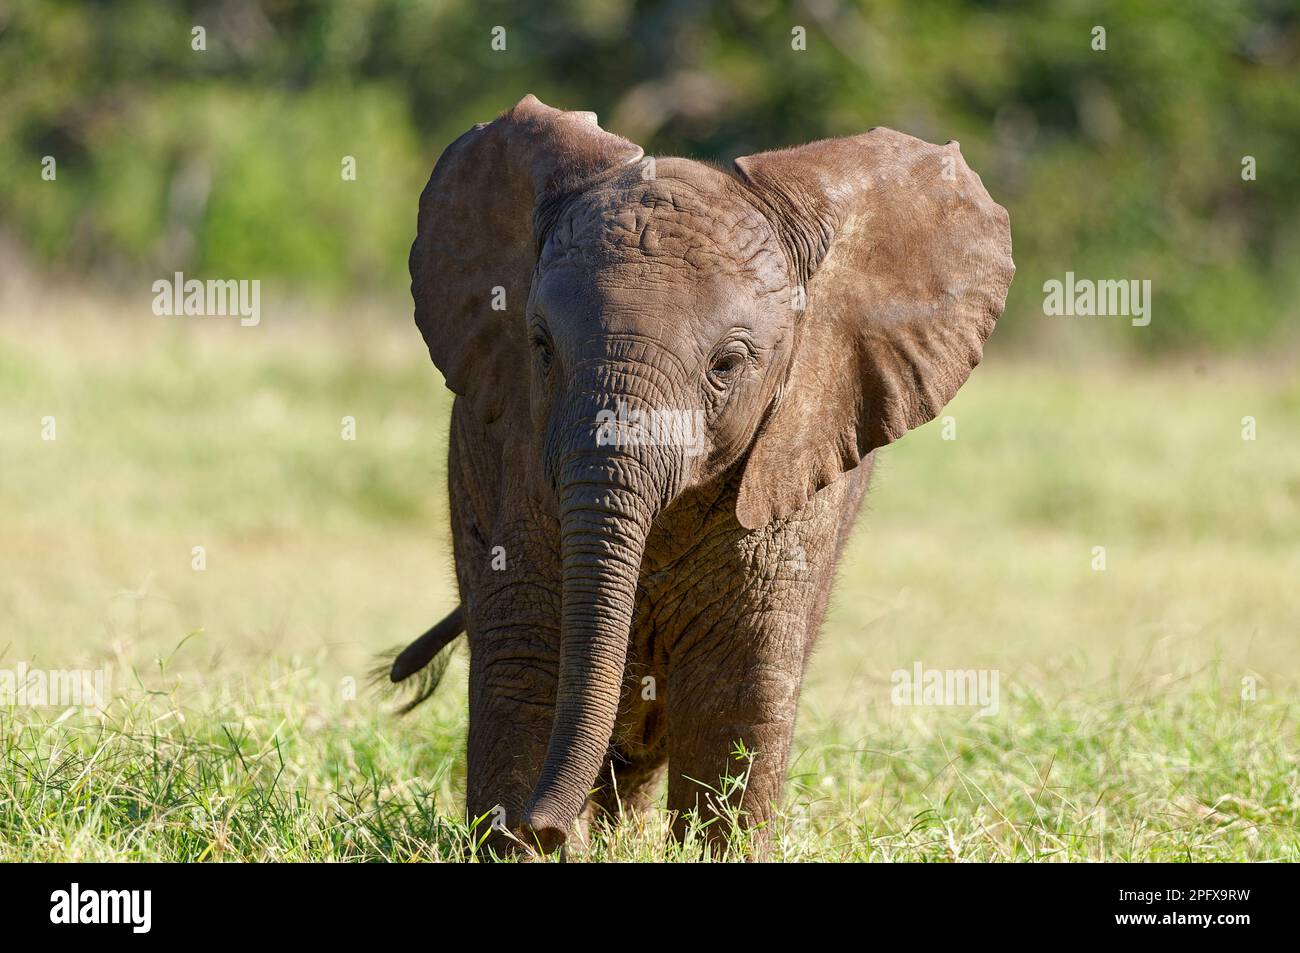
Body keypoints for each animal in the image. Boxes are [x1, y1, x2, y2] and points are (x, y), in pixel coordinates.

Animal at [392, 94, 1014, 858]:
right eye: (540, 347)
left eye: (727, 364)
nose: (544, 822)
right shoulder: (520, 452)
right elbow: (528, 654)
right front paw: (518, 843)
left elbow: (738, 684)